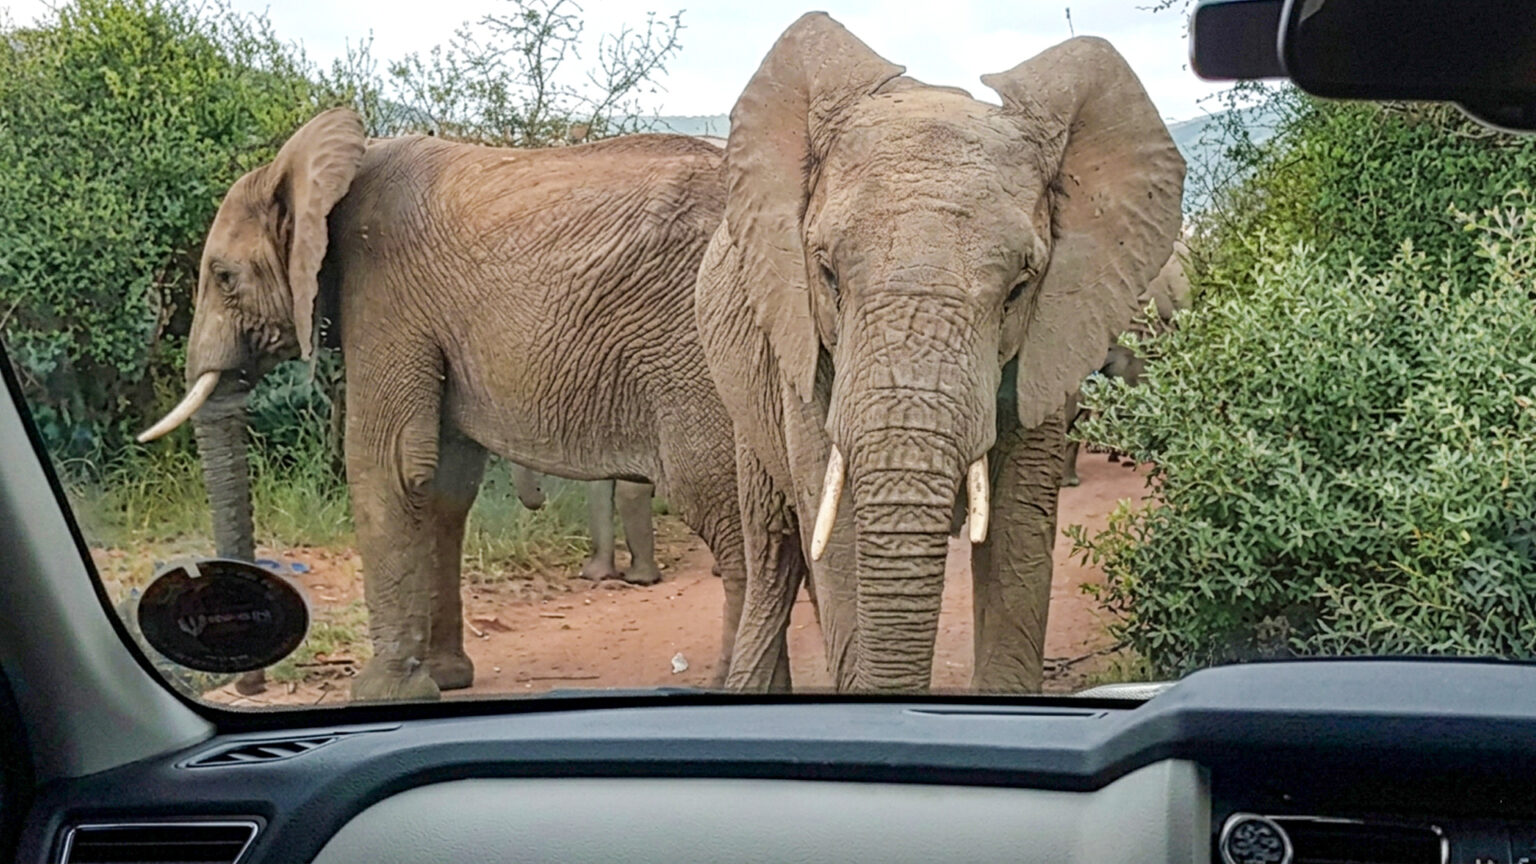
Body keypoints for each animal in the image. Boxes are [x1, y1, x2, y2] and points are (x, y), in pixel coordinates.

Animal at [139, 108, 746, 701]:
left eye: (224, 277)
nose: (249, 686)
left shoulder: (383, 292)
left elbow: (386, 466)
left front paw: (383, 694)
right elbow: (444, 487)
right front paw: (446, 677)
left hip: (701, 352)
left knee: (724, 499)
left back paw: (734, 683)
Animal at [694, 14, 1184, 693]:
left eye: (1019, 288)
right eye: (827, 274)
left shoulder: (1044, 345)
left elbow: (1018, 538)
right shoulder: (806, 352)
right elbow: (837, 537)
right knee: (775, 550)